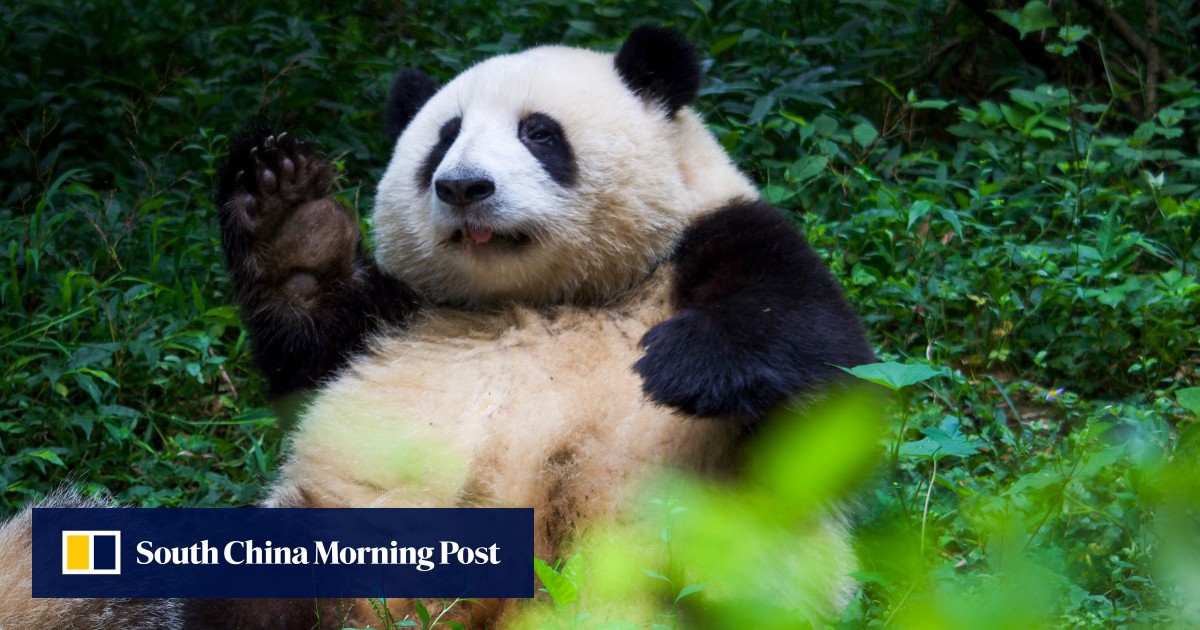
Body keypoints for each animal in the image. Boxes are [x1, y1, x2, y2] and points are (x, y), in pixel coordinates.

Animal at [0, 26, 874, 629]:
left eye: (539, 132)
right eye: (443, 138)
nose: (463, 187)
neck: (548, 297)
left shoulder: (719, 238)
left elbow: (824, 365)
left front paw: (685, 367)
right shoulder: (400, 318)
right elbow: (310, 346)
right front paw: (289, 220)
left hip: (710, 581)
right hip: (329, 545)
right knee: (240, 587)